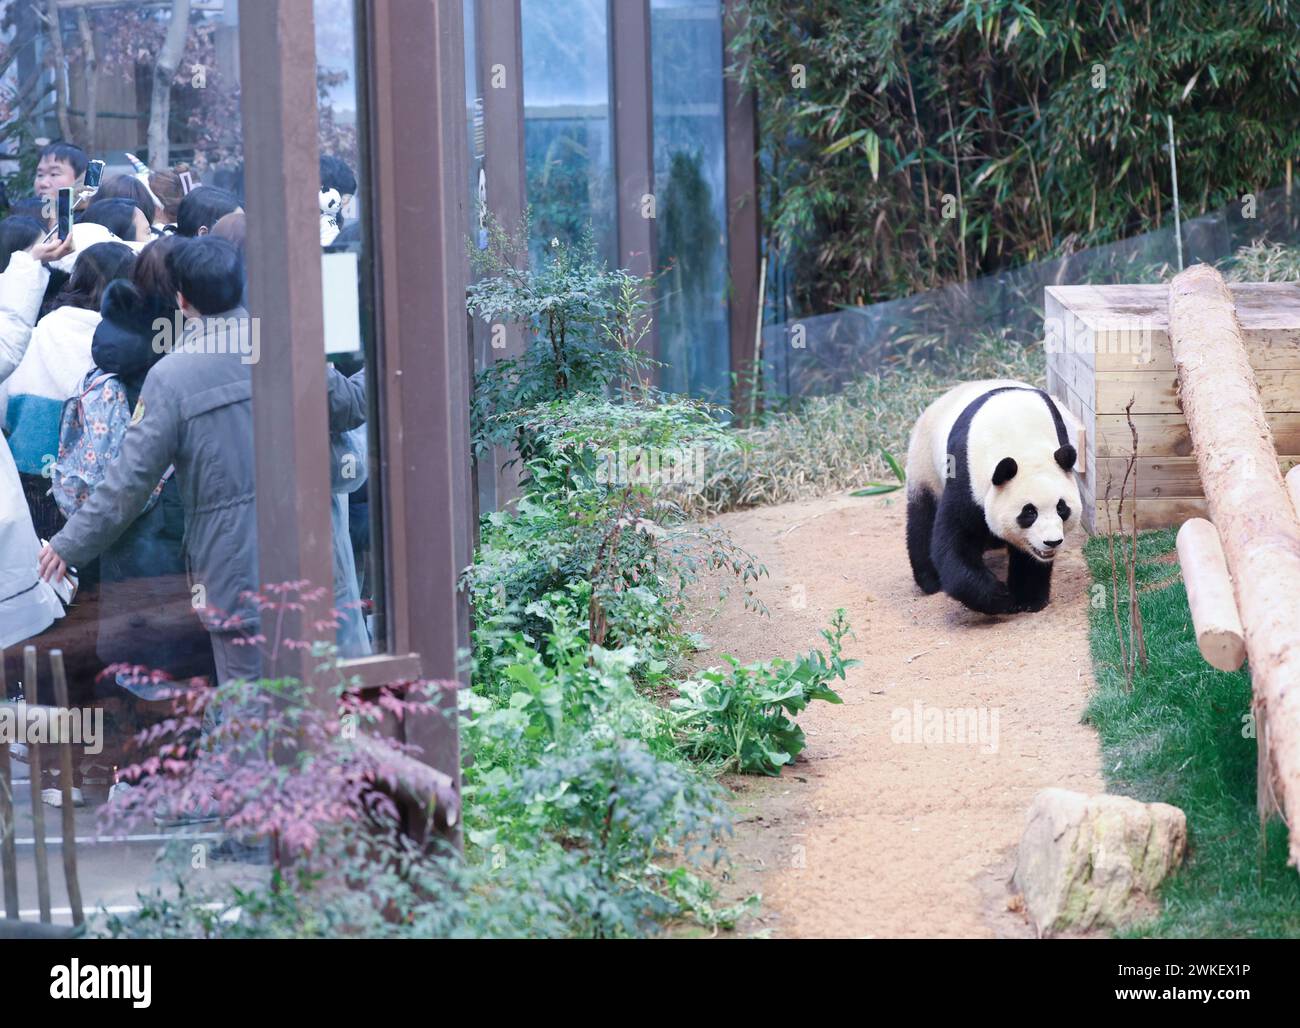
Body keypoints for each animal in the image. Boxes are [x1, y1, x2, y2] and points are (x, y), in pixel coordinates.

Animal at [904, 379, 1081, 615]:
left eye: (1062, 508)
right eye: (1029, 512)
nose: (1052, 542)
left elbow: (1028, 556)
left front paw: (1027, 598)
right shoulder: (965, 475)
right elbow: (955, 541)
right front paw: (999, 596)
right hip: (924, 463)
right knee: (922, 517)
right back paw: (930, 580)